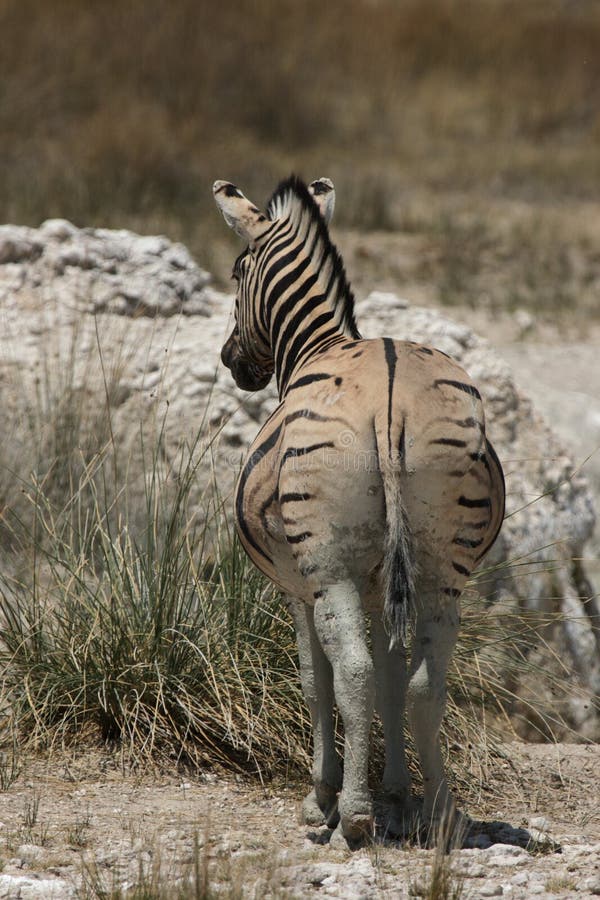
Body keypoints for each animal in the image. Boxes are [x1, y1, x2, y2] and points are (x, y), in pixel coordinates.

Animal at [213, 175, 505, 846]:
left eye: (237, 271)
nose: (229, 361)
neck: (320, 344)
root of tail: (391, 395)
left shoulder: (299, 587)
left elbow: (315, 680)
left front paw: (323, 798)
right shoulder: (383, 588)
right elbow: (394, 676)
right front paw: (397, 795)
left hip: (331, 568)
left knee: (350, 671)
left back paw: (352, 817)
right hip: (441, 569)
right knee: (425, 682)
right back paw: (442, 811)